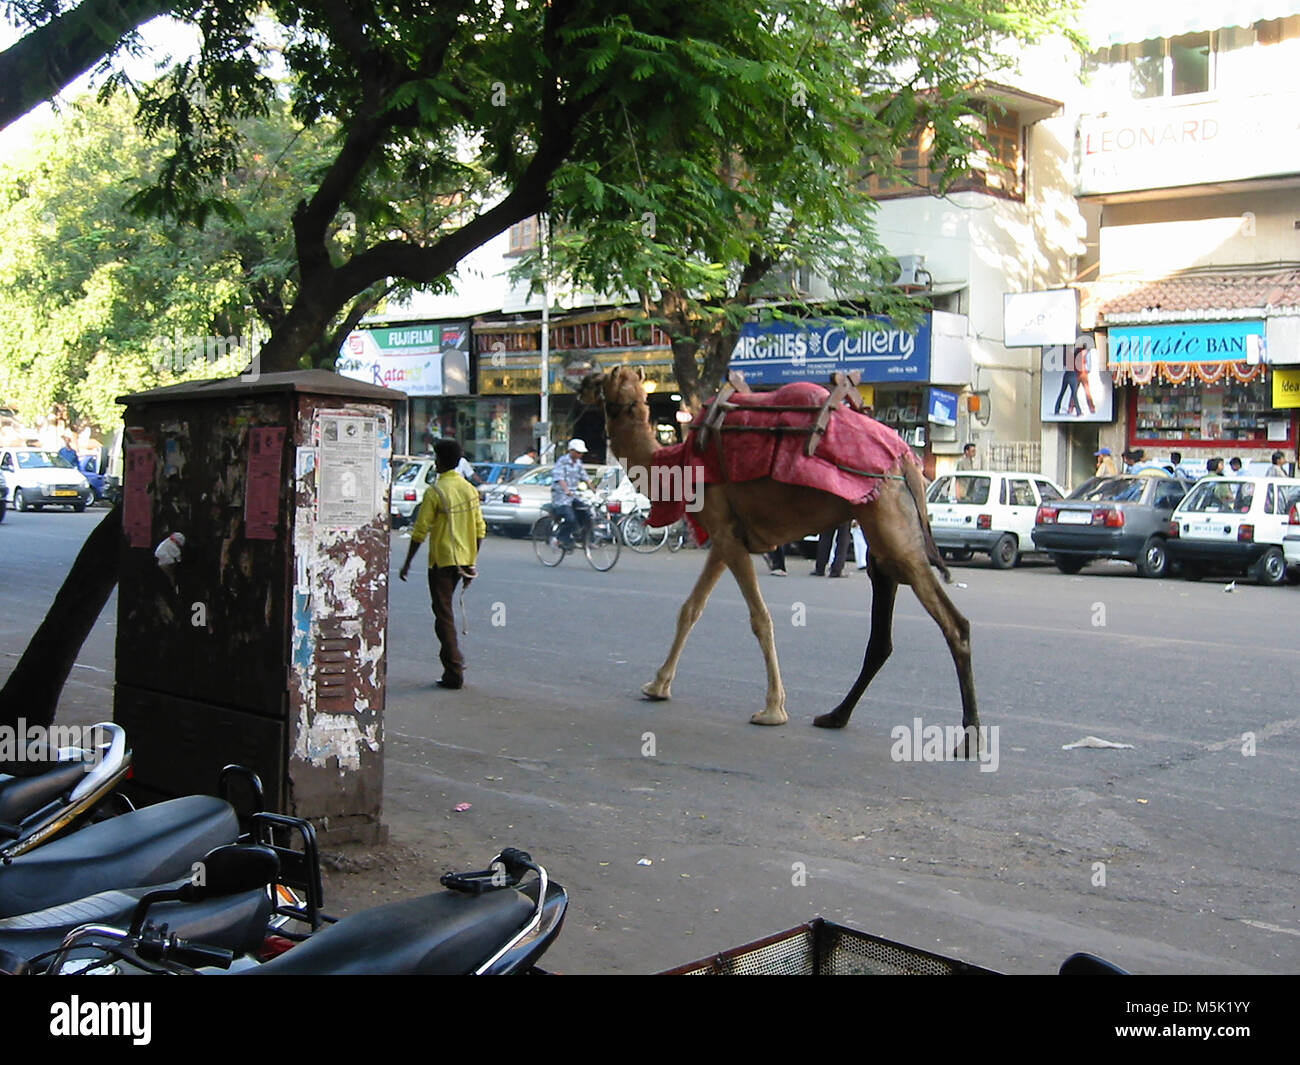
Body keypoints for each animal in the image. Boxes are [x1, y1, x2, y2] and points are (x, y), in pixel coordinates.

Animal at [593, 365, 979, 745]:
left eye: (606, 378)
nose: (587, 380)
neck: (672, 462)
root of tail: (907, 461)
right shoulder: (725, 536)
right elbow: (691, 608)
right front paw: (657, 686)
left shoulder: (725, 533)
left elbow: (759, 618)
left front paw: (772, 710)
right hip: (884, 535)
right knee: (883, 632)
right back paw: (835, 717)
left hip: (892, 526)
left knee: (953, 623)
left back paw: (970, 734)